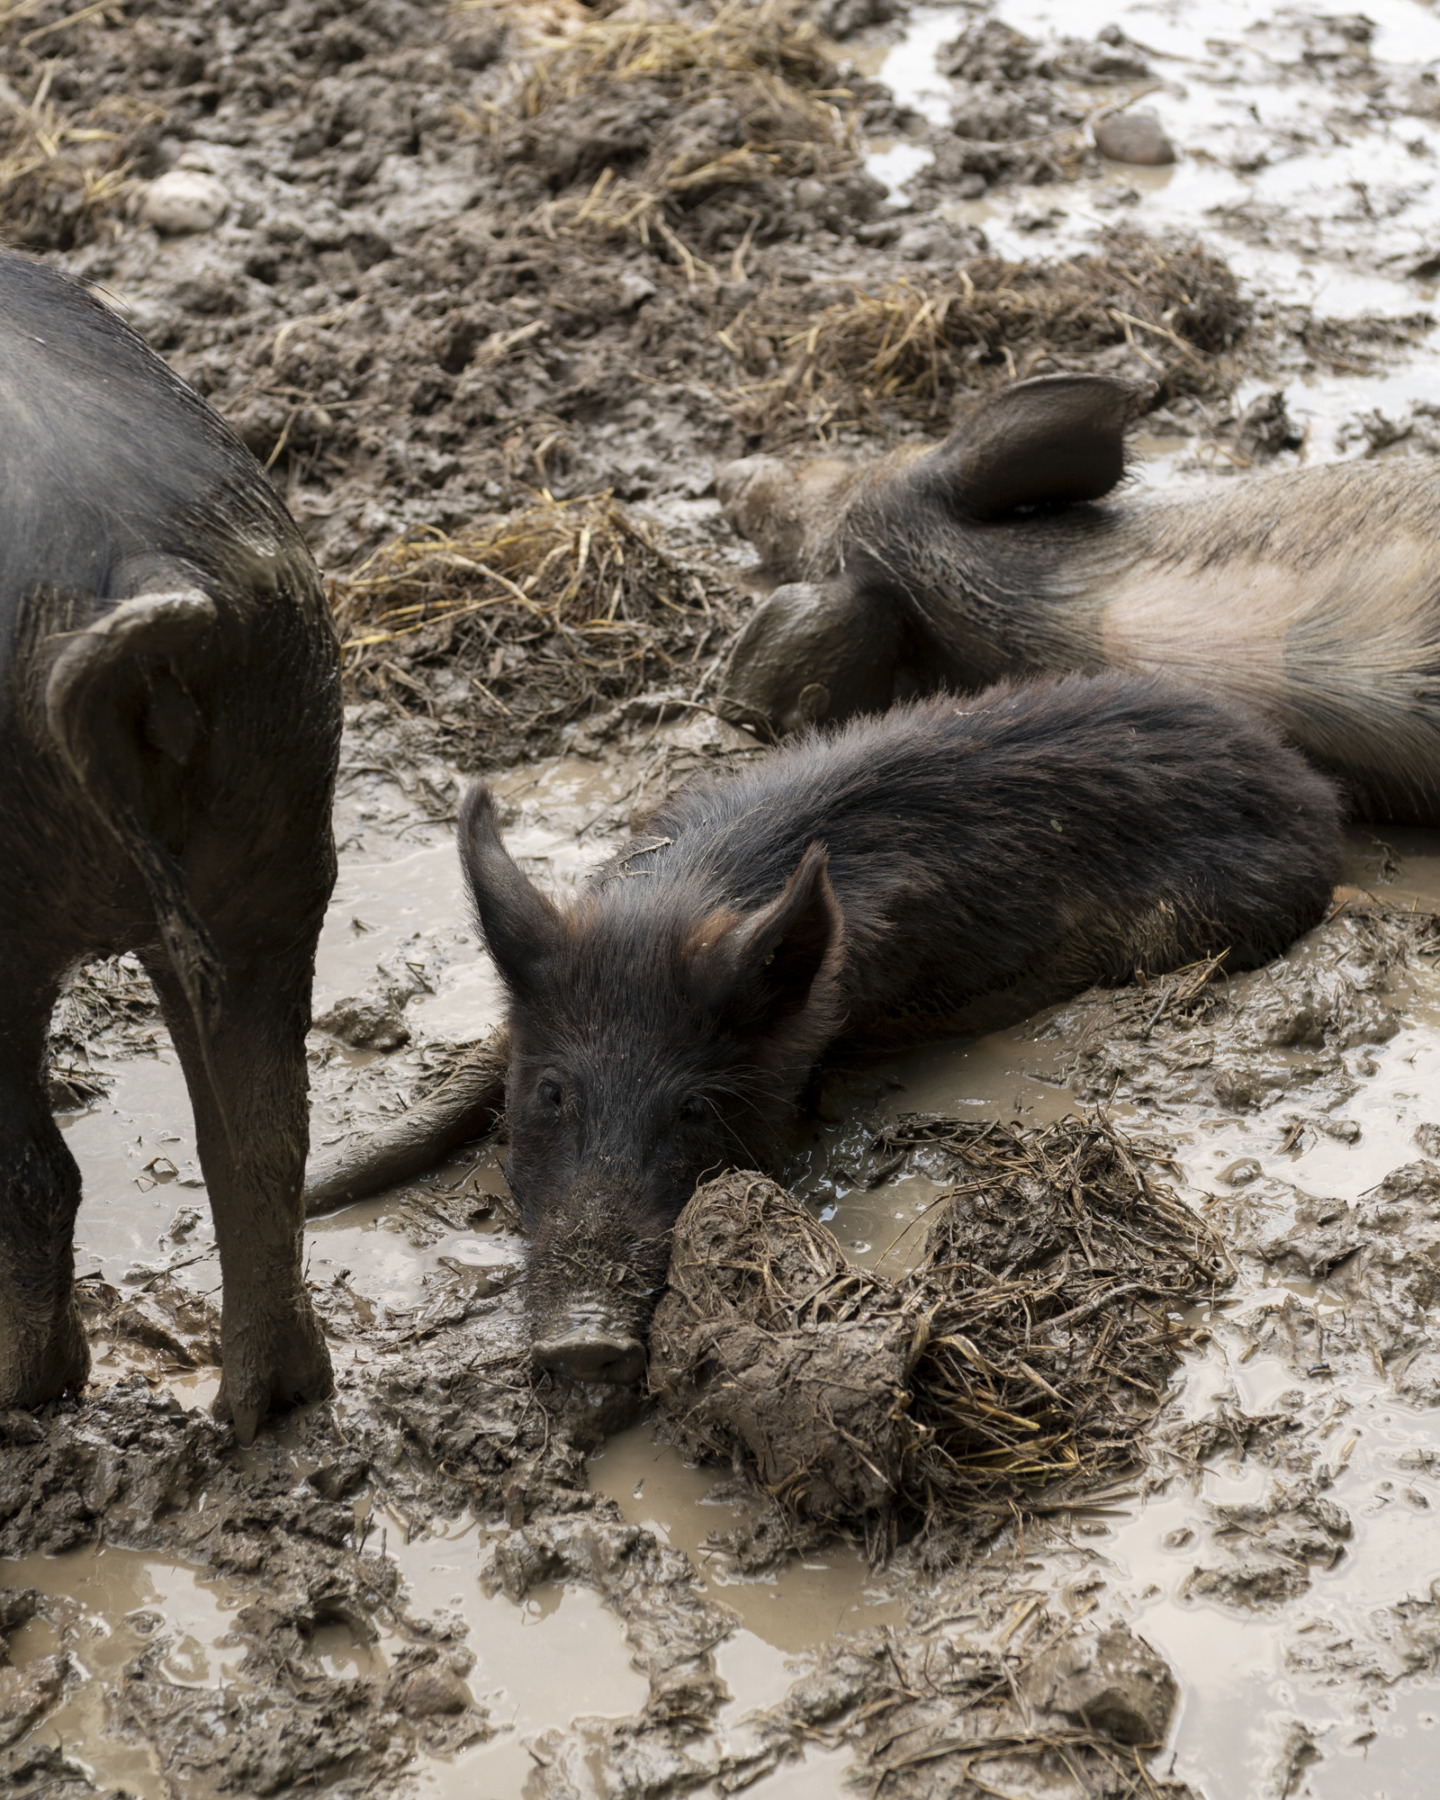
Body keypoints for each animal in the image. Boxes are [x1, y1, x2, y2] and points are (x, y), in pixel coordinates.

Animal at [0, 250, 340, 1442]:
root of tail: (148, 572)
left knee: (37, 1171)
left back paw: (25, 1402)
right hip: (280, 800)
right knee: (266, 1132)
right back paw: (261, 1410)